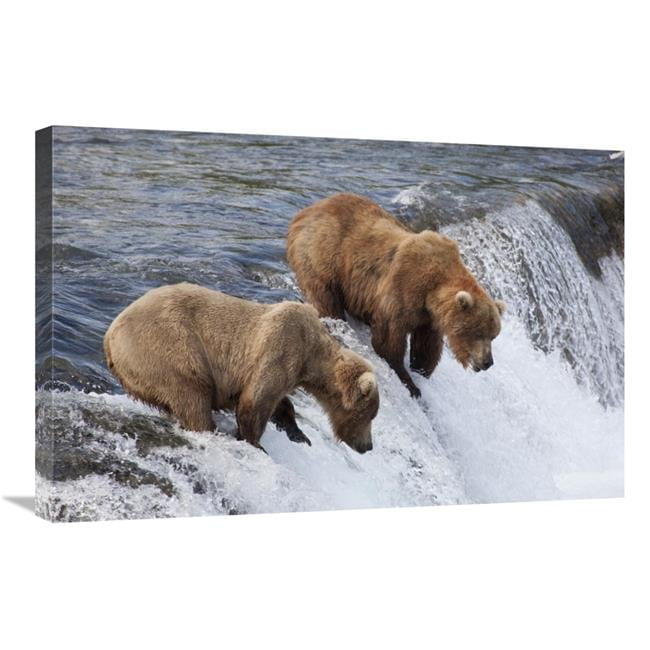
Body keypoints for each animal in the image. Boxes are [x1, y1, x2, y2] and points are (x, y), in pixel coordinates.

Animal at [104, 283, 379, 453]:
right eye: (369, 415)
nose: (368, 446)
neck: (311, 355)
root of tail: (109, 337)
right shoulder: (281, 347)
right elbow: (255, 402)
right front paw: (256, 443)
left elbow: (278, 401)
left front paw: (299, 434)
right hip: (168, 348)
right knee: (192, 394)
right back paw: (209, 428)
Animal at [287, 193, 505, 398]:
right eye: (478, 332)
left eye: (494, 335)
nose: (488, 362)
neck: (432, 289)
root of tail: (306, 211)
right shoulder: (402, 290)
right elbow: (388, 340)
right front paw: (410, 383)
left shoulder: (428, 317)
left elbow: (426, 346)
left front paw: (421, 369)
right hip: (323, 254)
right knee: (325, 296)